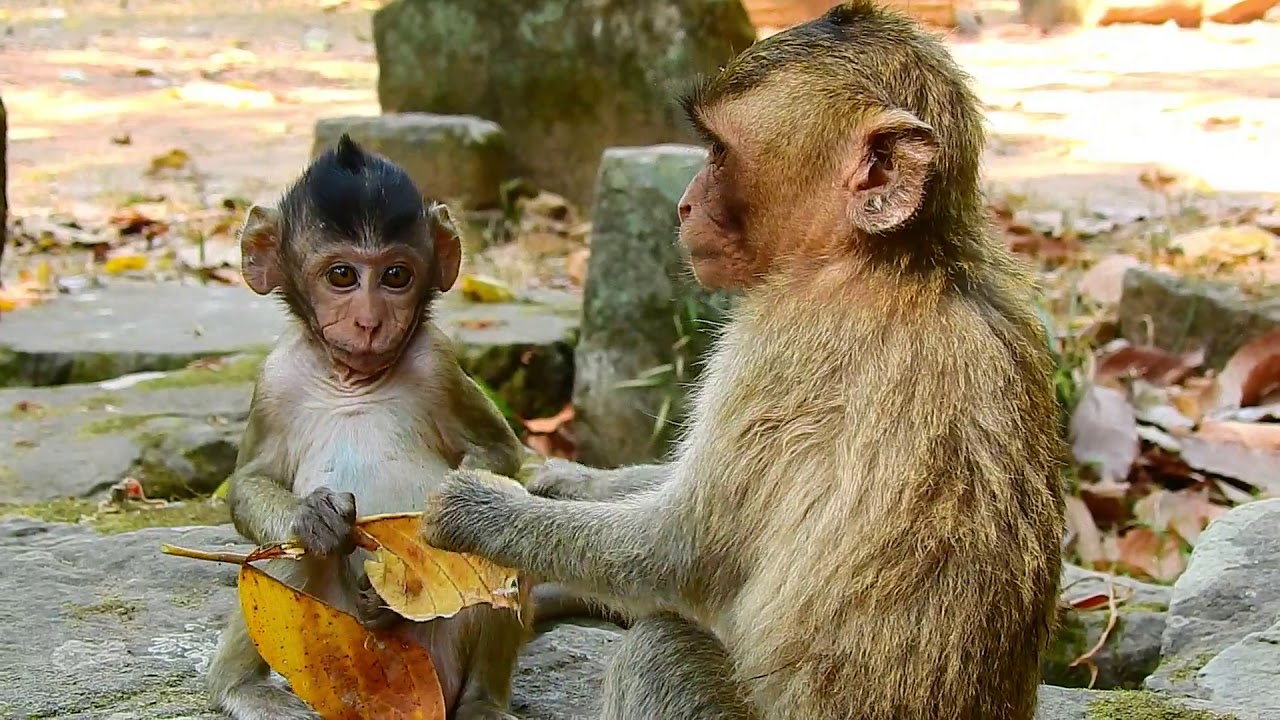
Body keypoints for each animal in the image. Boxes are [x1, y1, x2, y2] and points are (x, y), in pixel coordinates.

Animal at [204, 134, 531, 720]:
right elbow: (248, 487)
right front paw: (312, 516)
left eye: (396, 275)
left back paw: (482, 702)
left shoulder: (438, 363)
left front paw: (426, 541)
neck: (353, 381)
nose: (370, 321)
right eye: (342, 276)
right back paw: (242, 688)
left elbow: (500, 456)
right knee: (279, 558)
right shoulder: (273, 380)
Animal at [411, 2, 1067, 719]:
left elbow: (683, 552)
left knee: (659, 649)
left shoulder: (778, 345)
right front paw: (570, 479)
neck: (894, 255)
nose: (683, 204)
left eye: (720, 152)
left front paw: (482, 513)